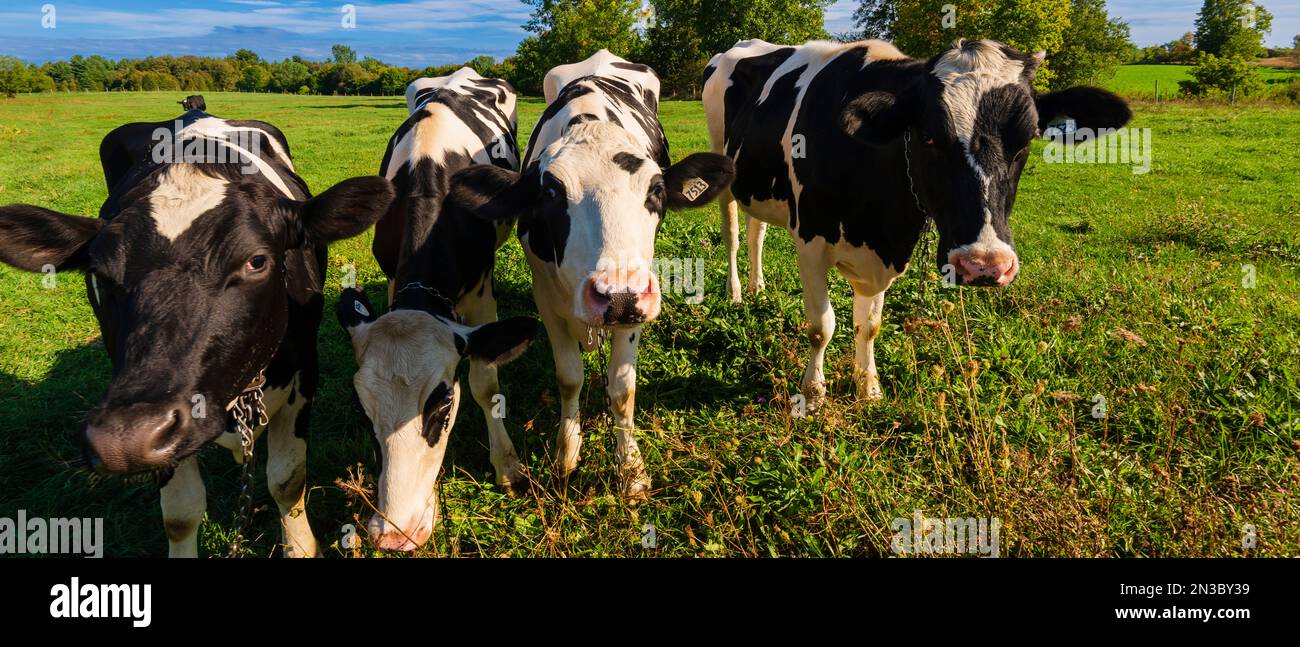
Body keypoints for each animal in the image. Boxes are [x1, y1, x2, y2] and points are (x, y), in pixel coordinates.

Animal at [0, 106, 396, 557]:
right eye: (97, 273)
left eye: (257, 261)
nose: (125, 439)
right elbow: (181, 512)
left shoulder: (304, 376)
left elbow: (286, 478)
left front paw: (299, 545)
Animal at [334, 68, 538, 552]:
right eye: (363, 409)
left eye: (442, 405)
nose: (395, 536)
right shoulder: (393, 276)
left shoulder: (481, 292)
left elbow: (485, 382)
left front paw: (507, 465)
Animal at [448, 50, 735, 499]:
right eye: (550, 193)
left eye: (656, 190)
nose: (615, 296)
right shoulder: (546, 296)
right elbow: (569, 377)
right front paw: (567, 453)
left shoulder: (637, 298)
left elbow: (622, 386)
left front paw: (630, 466)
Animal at [704, 38, 1131, 409]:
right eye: (928, 137)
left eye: (1026, 141)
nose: (984, 265)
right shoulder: (810, 240)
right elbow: (822, 326)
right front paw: (812, 395)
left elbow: (869, 325)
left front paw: (868, 388)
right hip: (722, 168)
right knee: (734, 235)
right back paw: (736, 292)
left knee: (756, 232)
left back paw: (758, 287)